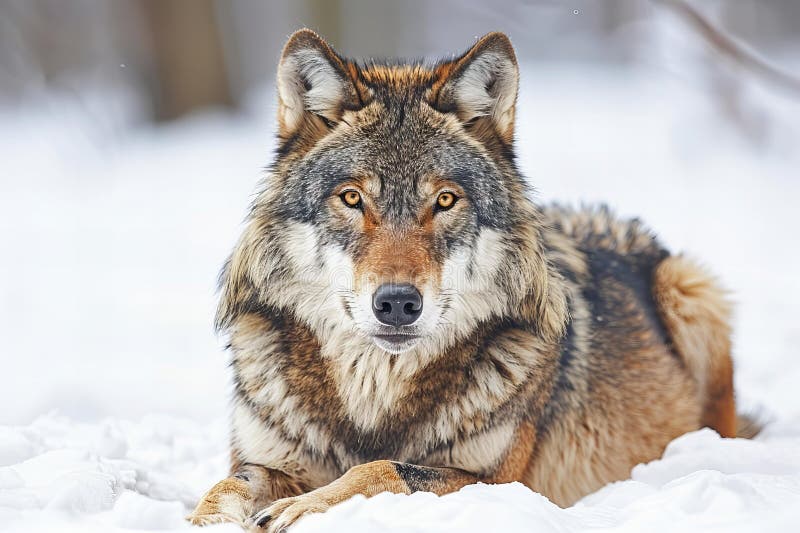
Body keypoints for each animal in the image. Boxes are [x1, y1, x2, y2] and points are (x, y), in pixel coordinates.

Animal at [187, 30, 743, 532]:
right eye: (351, 198)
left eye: (445, 200)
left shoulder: (495, 481)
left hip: (689, 286)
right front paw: (205, 520)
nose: (397, 303)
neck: (373, 397)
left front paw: (300, 508)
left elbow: (382, 469)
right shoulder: (263, 460)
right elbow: (226, 485)